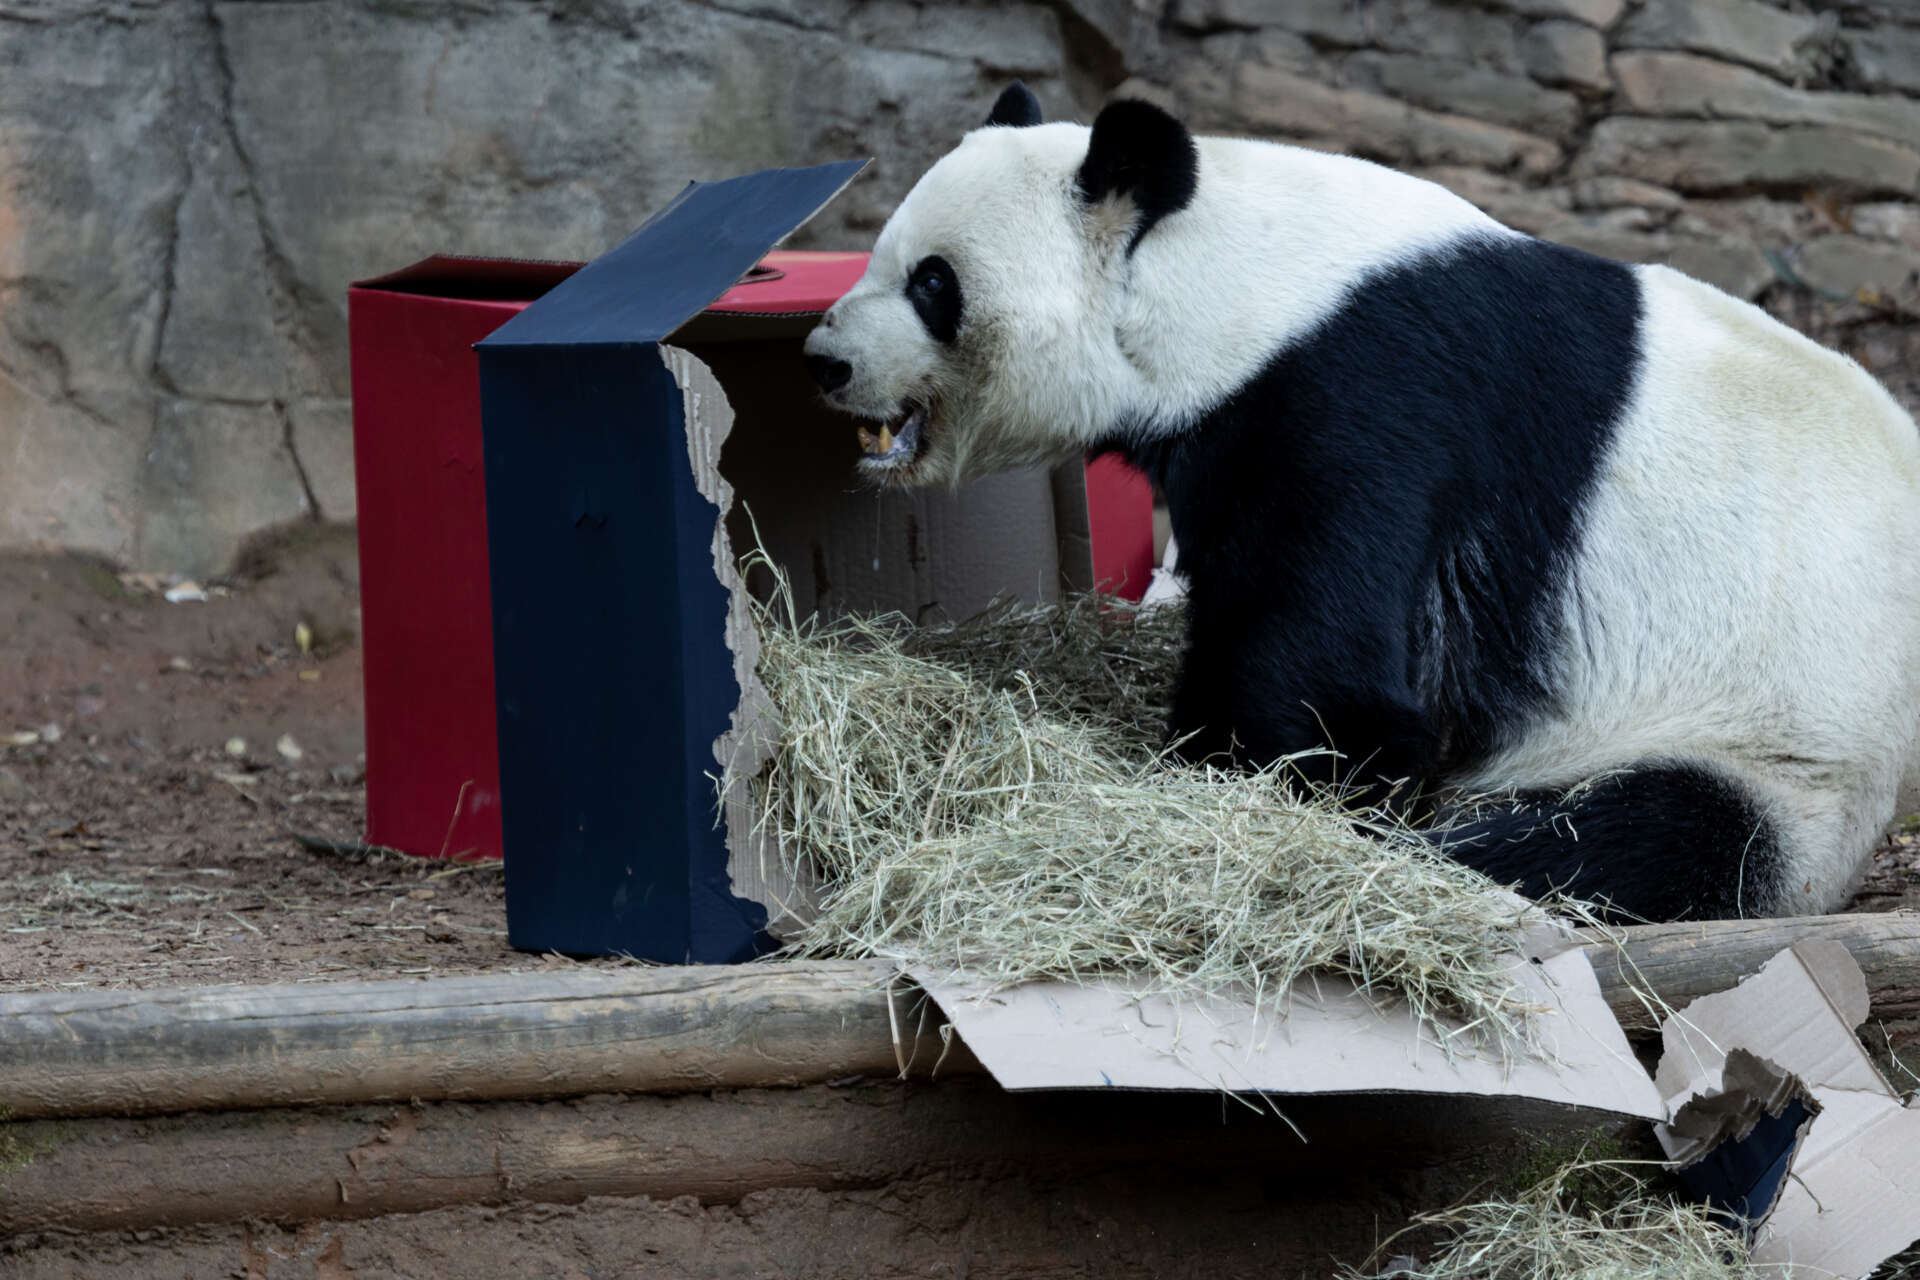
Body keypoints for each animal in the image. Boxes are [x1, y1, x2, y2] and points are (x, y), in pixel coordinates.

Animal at [801, 82, 1920, 923]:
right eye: (883, 254)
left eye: (934, 283)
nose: (824, 360)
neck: (1221, 271)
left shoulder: (1364, 399)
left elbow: (1326, 664)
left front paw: (1230, 776)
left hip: (1772, 742)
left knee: (1633, 836)